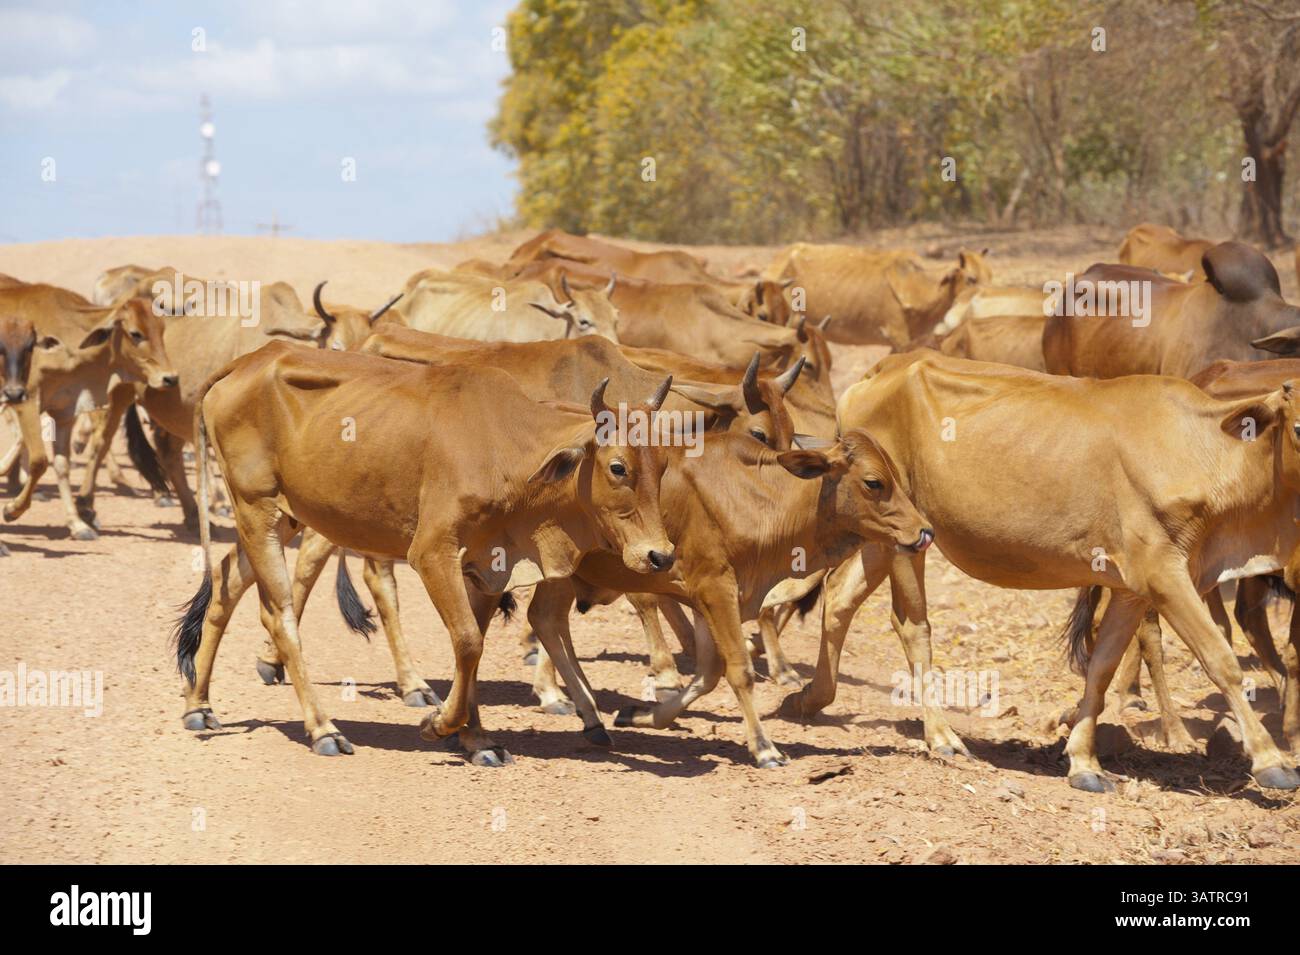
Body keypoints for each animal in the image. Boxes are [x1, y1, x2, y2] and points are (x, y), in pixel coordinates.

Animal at [0, 284, 177, 540]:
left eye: (162, 330)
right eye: (135, 334)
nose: (170, 378)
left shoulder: (65, 412)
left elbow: (62, 465)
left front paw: (77, 524)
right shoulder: (26, 399)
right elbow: (39, 461)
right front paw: (12, 510)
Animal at [173, 340, 676, 764]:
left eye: (663, 464)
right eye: (617, 467)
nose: (660, 556)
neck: (507, 448)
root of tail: (251, 358)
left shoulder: (488, 566)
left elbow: (474, 647)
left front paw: (477, 739)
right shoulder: (433, 553)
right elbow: (468, 642)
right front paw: (440, 725)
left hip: (285, 517)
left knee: (224, 585)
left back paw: (198, 704)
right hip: (257, 511)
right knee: (279, 615)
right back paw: (323, 729)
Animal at [785, 353, 1300, 793]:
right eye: (1296, 421)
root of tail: (882, 369)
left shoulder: (1133, 588)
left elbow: (1101, 668)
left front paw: (1085, 762)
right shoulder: (1164, 576)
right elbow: (1221, 660)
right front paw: (1271, 761)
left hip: (881, 535)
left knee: (840, 596)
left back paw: (811, 698)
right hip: (905, 537)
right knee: (912, 626)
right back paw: (942, 736)